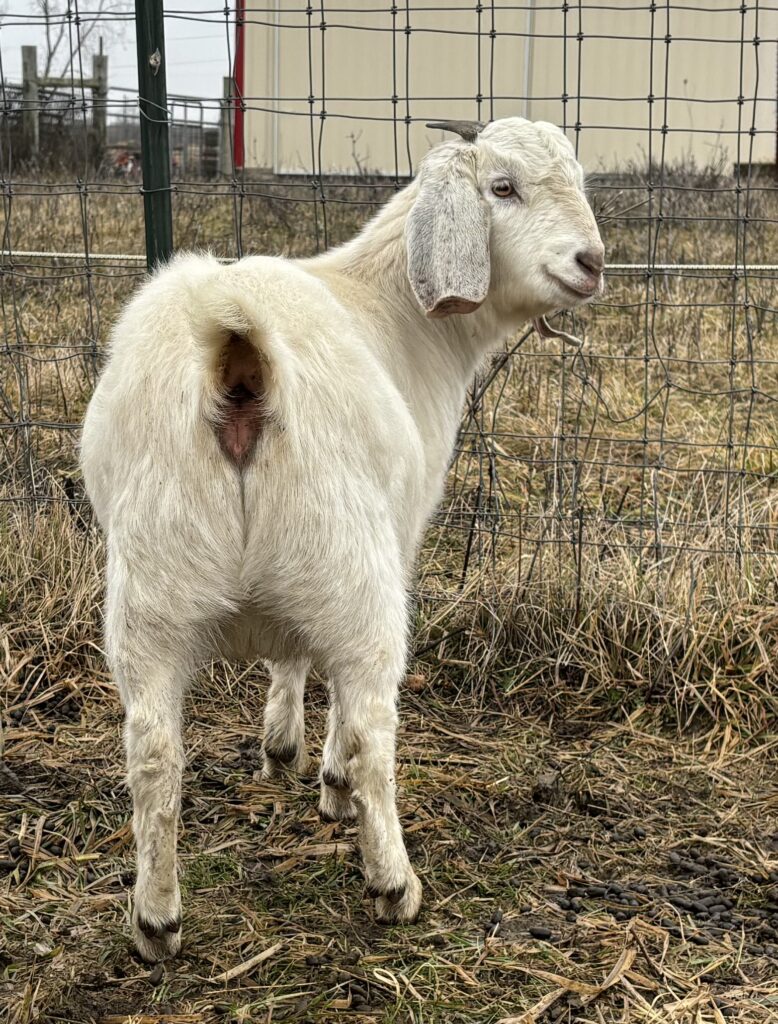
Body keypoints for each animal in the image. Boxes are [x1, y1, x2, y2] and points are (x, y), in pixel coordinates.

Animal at [80, 117, 604, 961]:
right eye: (502, 187)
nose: (591, 263)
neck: (398, 316)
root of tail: (236, 340)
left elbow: (289, 655)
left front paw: (278, 747)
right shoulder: (397, 533)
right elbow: (334, 697)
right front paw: (325, 783)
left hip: (153, 583)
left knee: (154, 754)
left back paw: (156, 918)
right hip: (351, 571)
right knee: (369, 732)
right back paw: (392, 879)